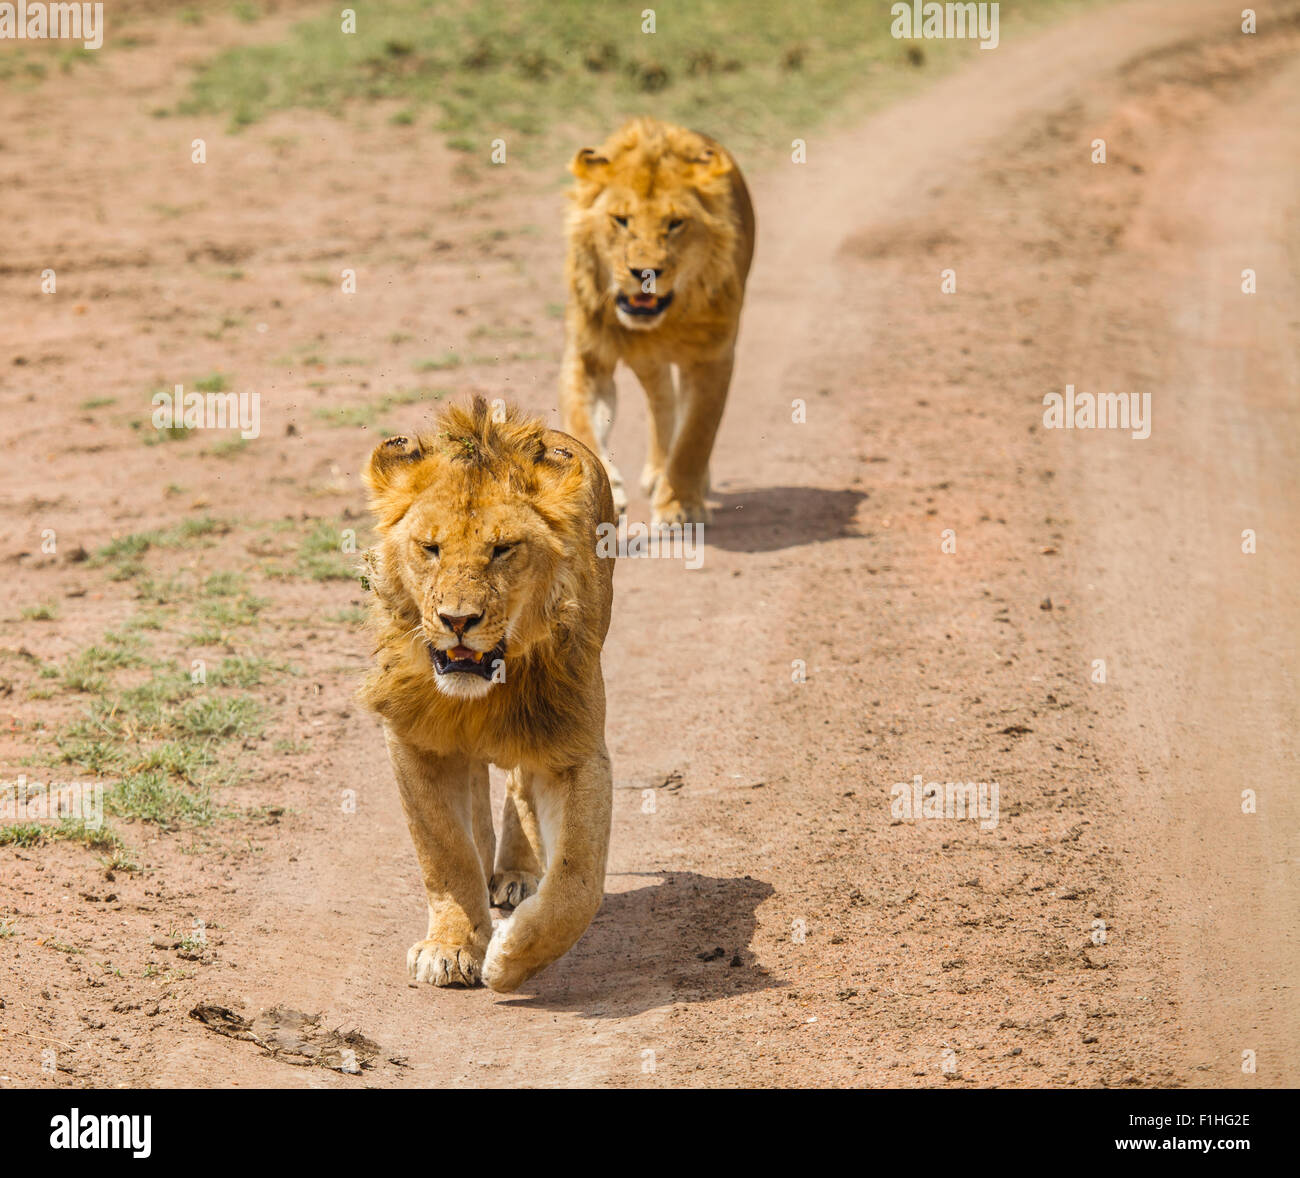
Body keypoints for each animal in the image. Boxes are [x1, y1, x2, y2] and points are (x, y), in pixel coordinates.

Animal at [358, 397, 616, 993]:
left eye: (502, 549)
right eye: (430, 548)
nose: (458, 621)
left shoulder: (575, 748)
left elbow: (578, 880)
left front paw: (511, 955)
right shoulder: (412, 738)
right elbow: (444, 851)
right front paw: (452, 946)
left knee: (518, 787)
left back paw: (518, 875)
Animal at [561, 116, 755, 526]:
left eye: (676, 223)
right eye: (621, 220)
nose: (645, 272)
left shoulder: (714, 357)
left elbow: (696, 435)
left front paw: (680, 505)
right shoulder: (588, 355)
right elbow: (582, 423)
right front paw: (604, 486)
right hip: (645, 361)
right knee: (662, 401)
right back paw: (655, 472)